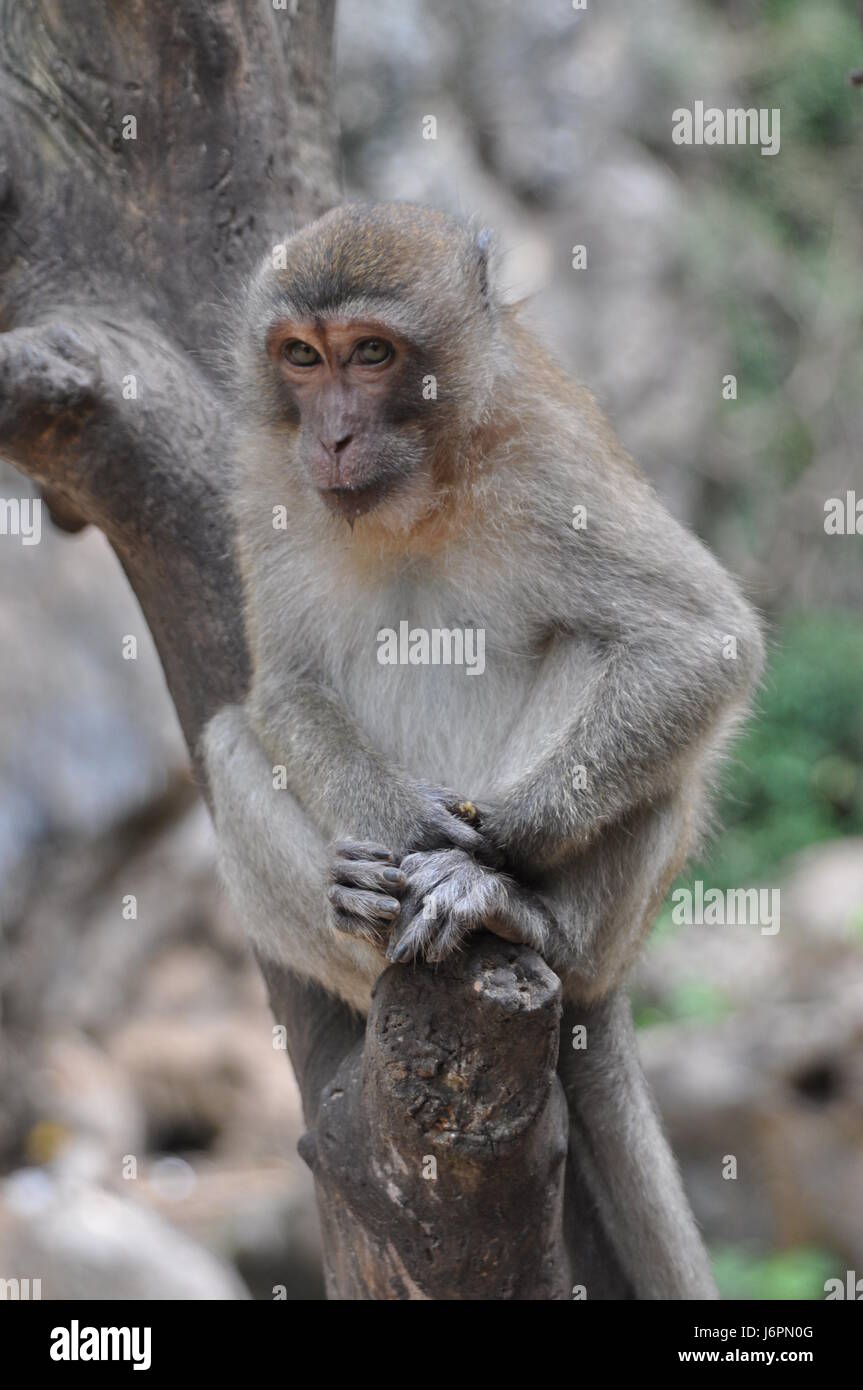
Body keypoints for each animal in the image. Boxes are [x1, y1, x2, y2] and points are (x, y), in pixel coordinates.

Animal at [202, 202, 765, 1300]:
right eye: (301, 357)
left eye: (371, 353)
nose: (331, 434)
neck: (417, 487)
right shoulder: (262, 474)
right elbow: (285, 687)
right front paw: (396, 838)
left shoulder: (548, 453)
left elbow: (702, 640)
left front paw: (483, 851)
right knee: (227, 738)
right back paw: (362, 915)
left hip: (612, 927)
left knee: (608, 657)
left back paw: (519, 914)